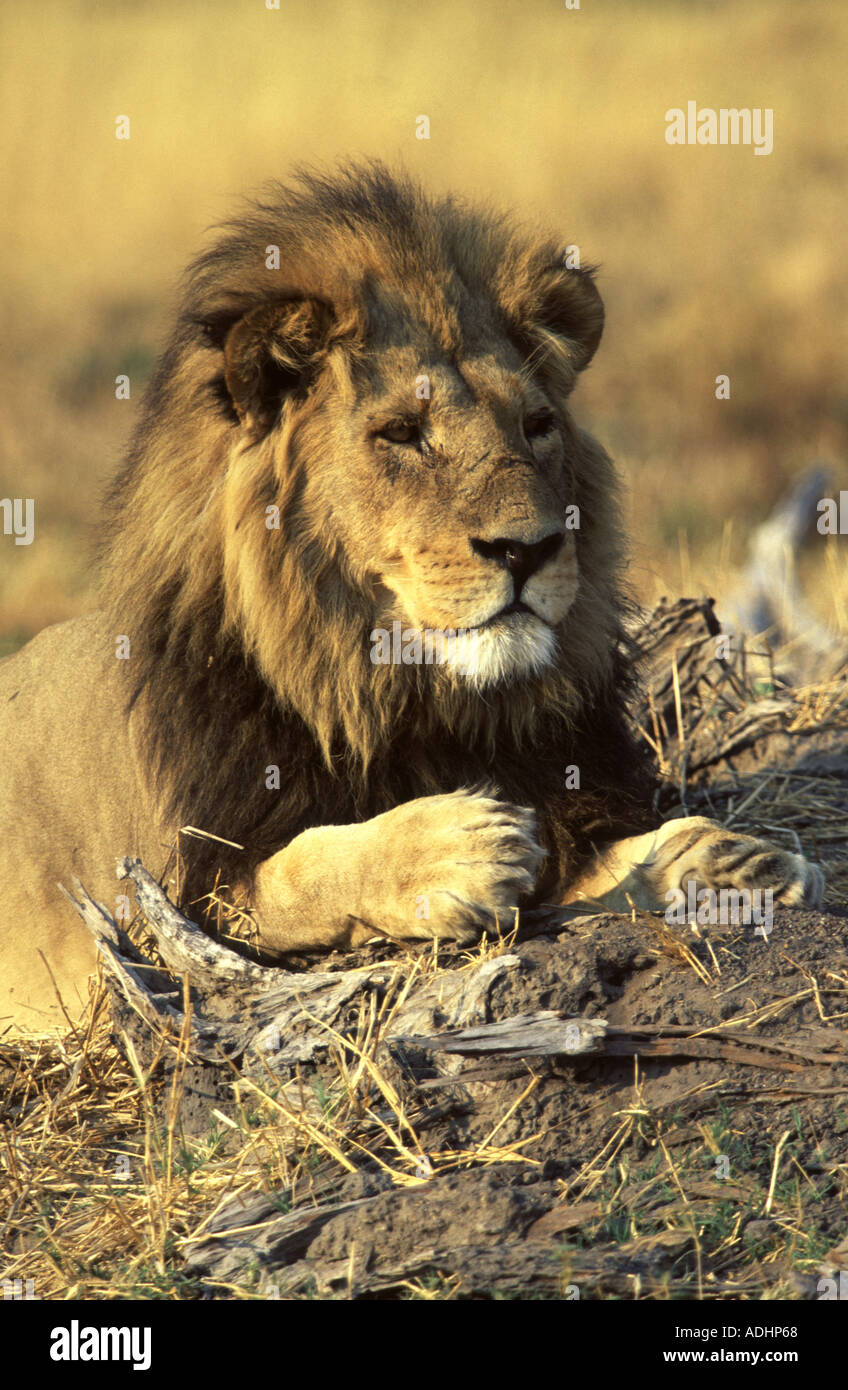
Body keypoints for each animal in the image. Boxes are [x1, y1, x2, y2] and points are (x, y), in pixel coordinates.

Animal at [0, 161, 824, 1030]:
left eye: (536, 425)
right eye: (401, 433)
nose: (528, 548)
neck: (403, 696)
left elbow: (612, 861)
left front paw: (738, 861)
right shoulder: (179, 911)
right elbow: (303, 865)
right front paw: (459, 847)